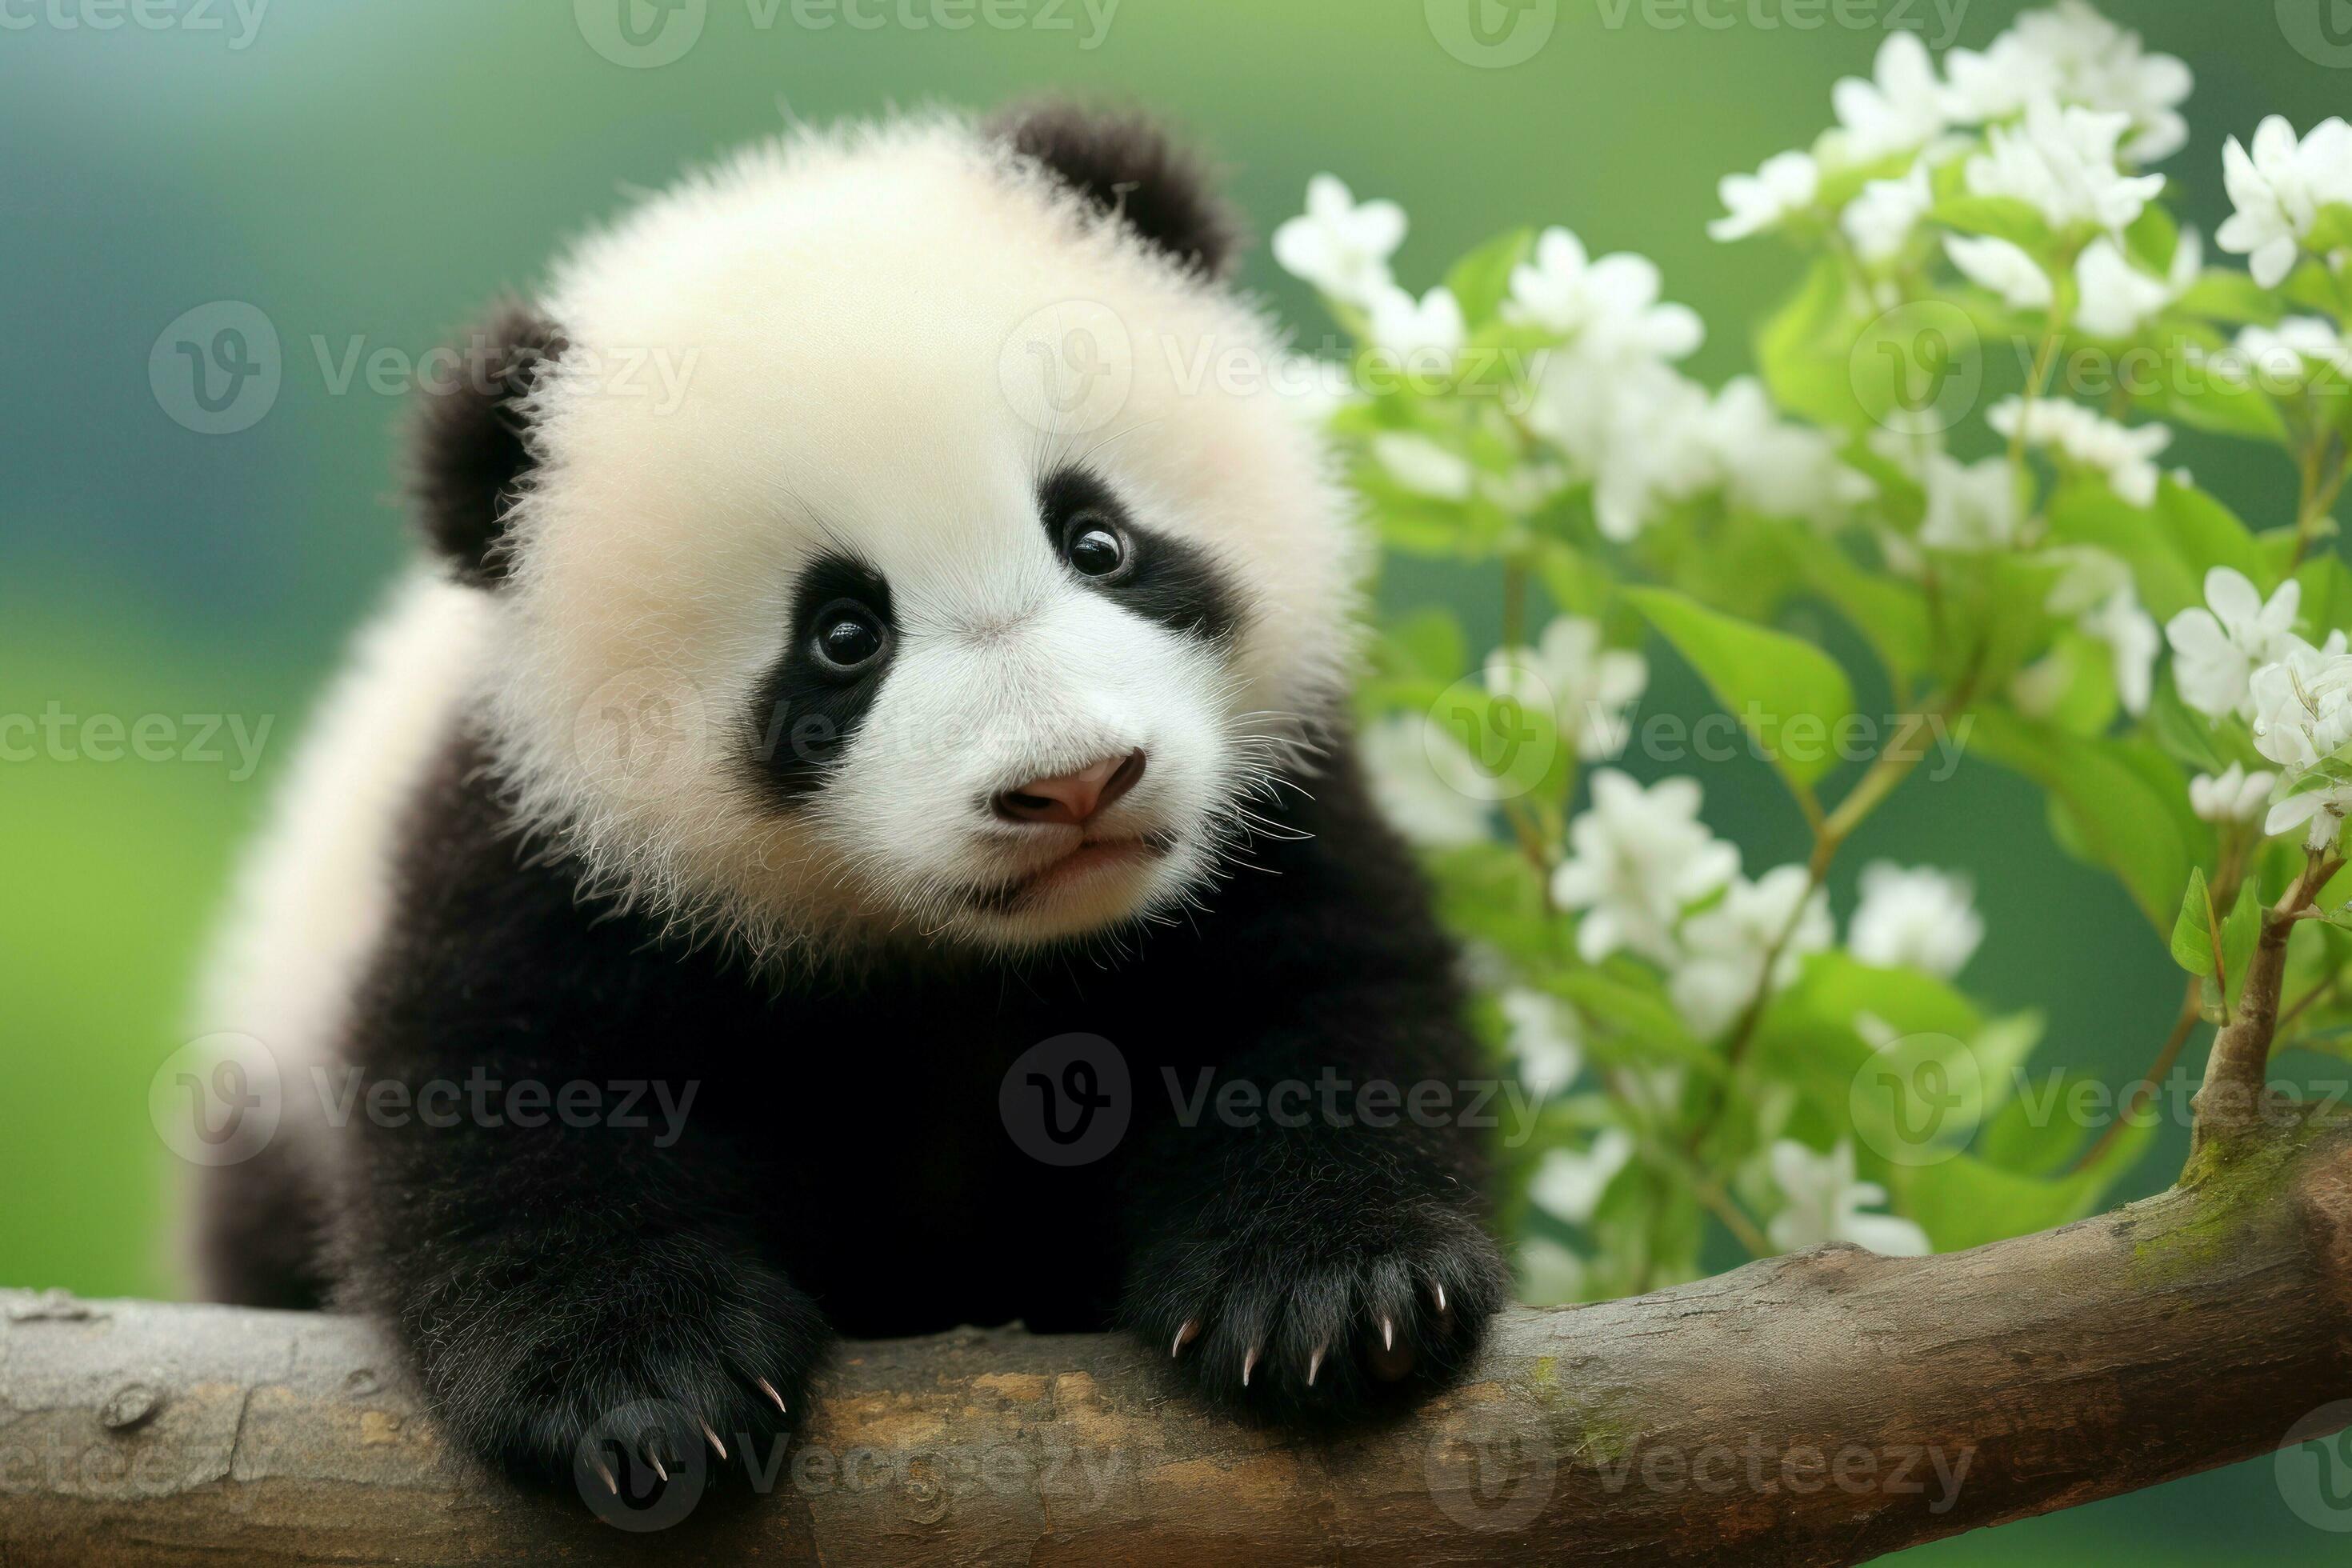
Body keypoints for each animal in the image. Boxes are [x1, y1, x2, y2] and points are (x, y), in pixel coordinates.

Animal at [191, 102, 1510, 1491]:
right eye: (841, 634)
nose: (1072, 784)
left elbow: (1319, 1007)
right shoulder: (543, 847)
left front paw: (1334, 1294)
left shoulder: (1274, 799)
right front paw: (650, 1388)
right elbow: (505, 1095)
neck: (949, 952)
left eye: (1097, 542)